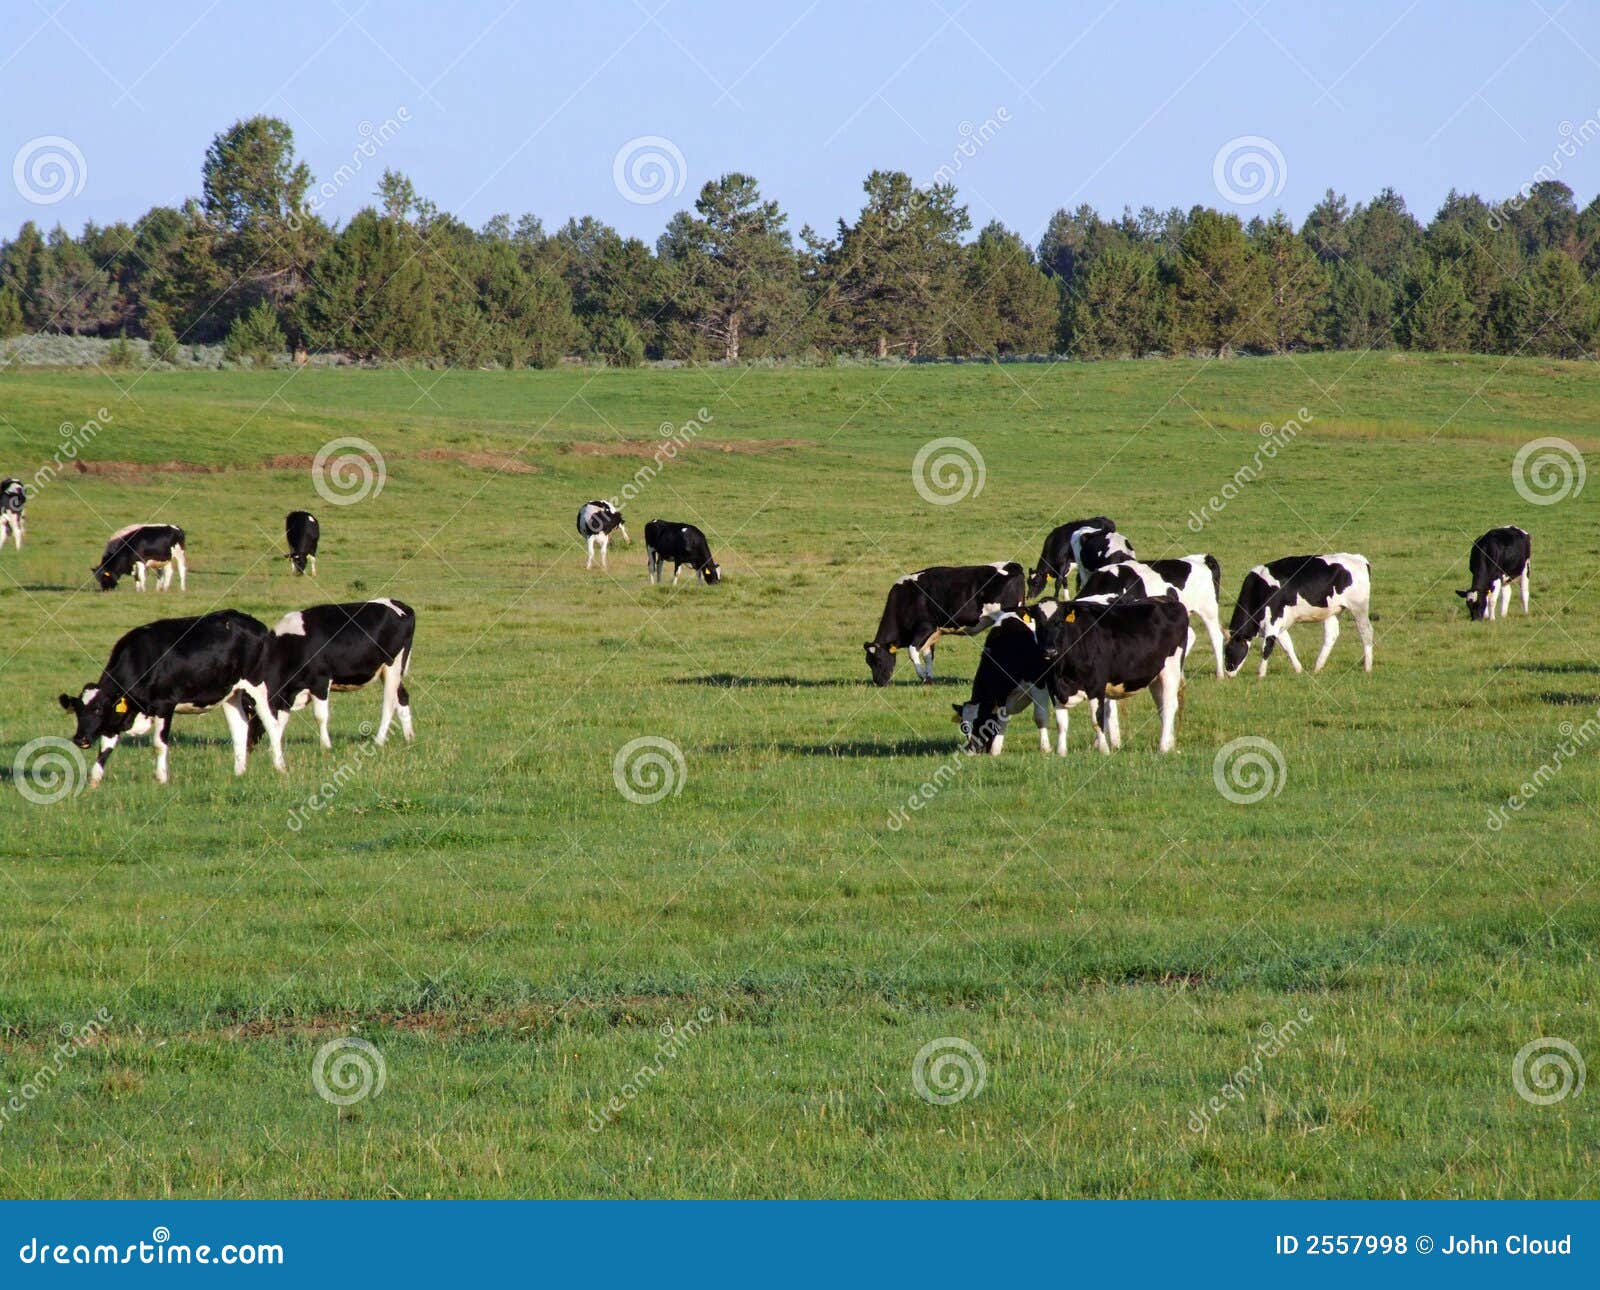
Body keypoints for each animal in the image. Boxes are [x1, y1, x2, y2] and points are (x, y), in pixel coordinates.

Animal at [57, 609, 285, 785]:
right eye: (77, 711)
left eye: (98, 709)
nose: (80, 739)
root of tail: (253, 622)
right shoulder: (116, 716)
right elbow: (106, 746)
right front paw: (94, 780)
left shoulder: (164, 705)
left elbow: (159, 744)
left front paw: (161, 778)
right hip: (231, 693)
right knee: (240, 728)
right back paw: (239, 772)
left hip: (258, 686)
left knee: (272, 725)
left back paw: (280, 767)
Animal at [257, 599, 416, 749]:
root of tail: (399, 604)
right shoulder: (286, 694)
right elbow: (282, 720)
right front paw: (273, 748)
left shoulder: (320, 681)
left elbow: (320, 716)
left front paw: (325, 745)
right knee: (402, 697)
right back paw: (409, 738)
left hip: (393, 666)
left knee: (389, 704)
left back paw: (379, 741)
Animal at [865, 562, 1026, 685]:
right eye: (868, 662)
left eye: (878, 660)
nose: (878, 683)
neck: (906, 600)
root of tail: (1012, 565)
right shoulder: (932, 633)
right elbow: (928, 655)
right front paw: (928, 679)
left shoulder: (925, 627)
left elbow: (912, 651)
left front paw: (922, 675)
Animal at [1033, 595, 1190, 753]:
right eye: (1039, 623)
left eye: (1060, 622)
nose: (1049, 651)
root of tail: (1164, 599)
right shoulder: (1054, 689)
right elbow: (1061, 723)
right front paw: (1061, 752)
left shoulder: (1096, 686)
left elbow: (1097, 720)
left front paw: (1104, 750)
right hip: (1156, 676)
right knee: (1161, 707)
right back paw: (1170, 744)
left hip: (1172, 668)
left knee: (1169, 705)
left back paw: (1162, 748)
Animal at [1223, 554, 1373, 678]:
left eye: (1229, 651)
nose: (1228, 672)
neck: (1260, 589)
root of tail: (1359, 558)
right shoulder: (1280, 624)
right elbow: (1287, 646)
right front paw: (1298, 669)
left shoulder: (1273, 621)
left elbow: (1267, 647)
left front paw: (1261, 673)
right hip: (1332, 611)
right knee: (1331, 634)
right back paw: (1317, 667)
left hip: (1358, 607)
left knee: (1366, 632)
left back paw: (1367, 667)